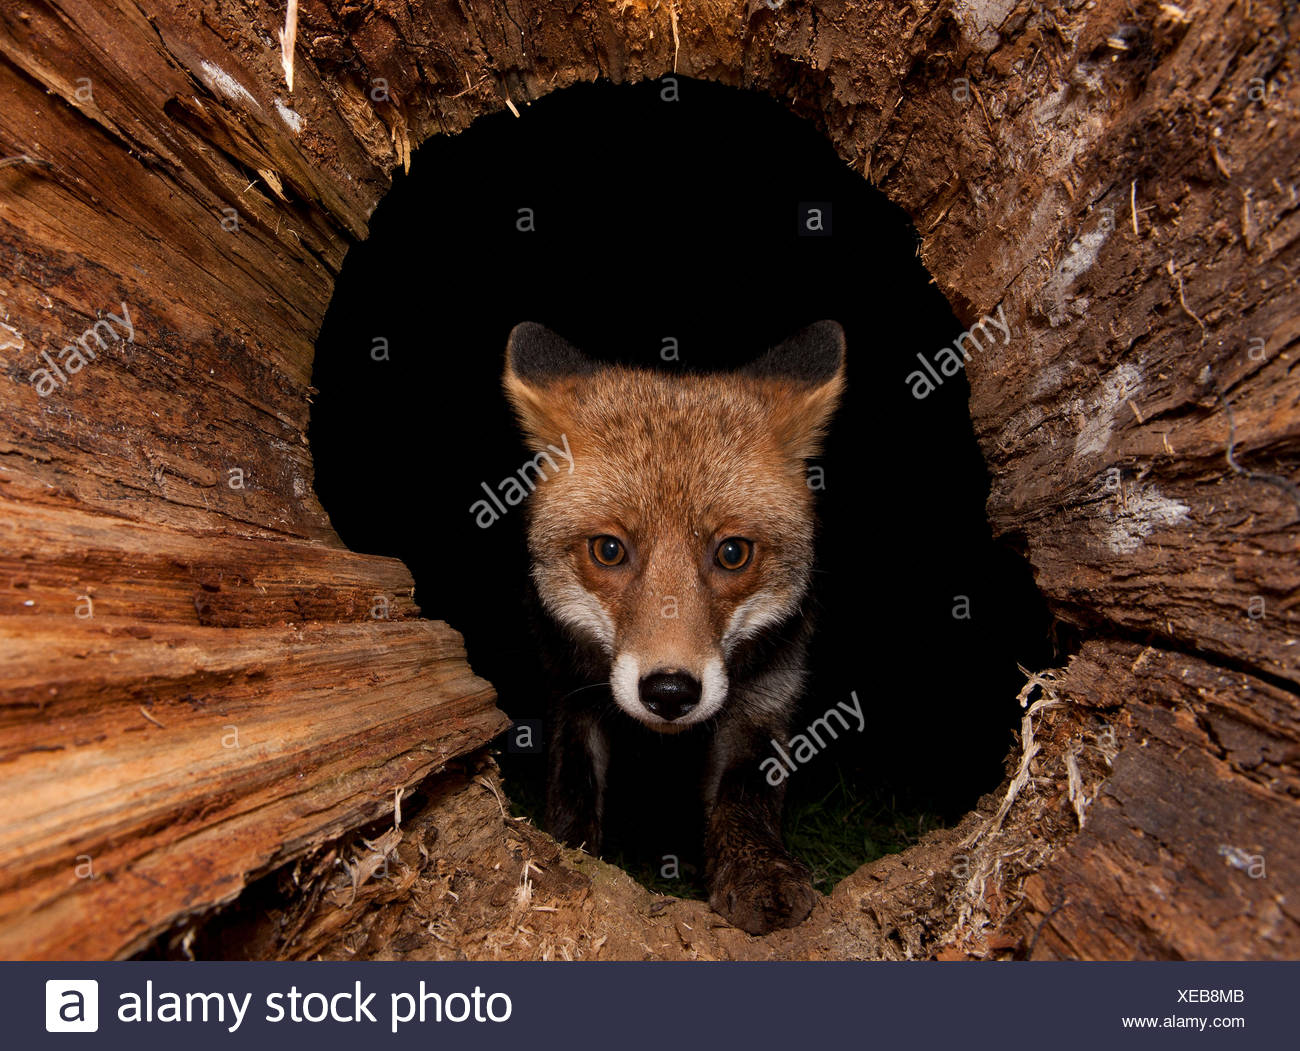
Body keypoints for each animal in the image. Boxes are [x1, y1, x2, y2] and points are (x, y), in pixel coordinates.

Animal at [502, 319, 845, 935]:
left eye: (732, 553)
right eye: (609, 549)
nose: (669, 692)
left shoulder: (767, 696)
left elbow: (746, 794)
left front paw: (759, 872)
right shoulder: (572, 691)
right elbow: (573, 789)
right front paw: (570, 855)